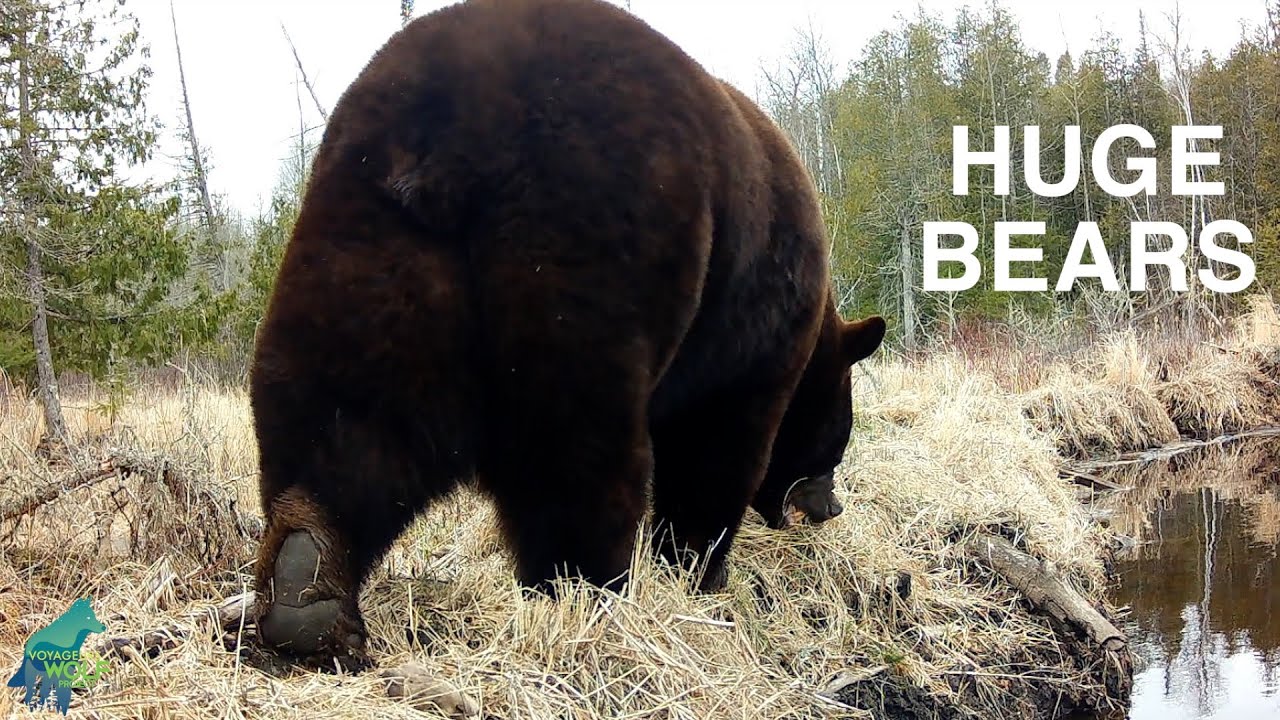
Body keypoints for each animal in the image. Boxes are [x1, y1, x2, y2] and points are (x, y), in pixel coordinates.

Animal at [249, 0, 885, 666]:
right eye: (837, 439)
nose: (831, 505)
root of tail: (443, 132)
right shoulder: (753, 333)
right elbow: (718, 446)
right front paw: (699, 572)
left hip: (364, 245)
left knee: (345, 412)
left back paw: (308, 592)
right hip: (578, 248)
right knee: (573, 446)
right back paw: (585, 594)